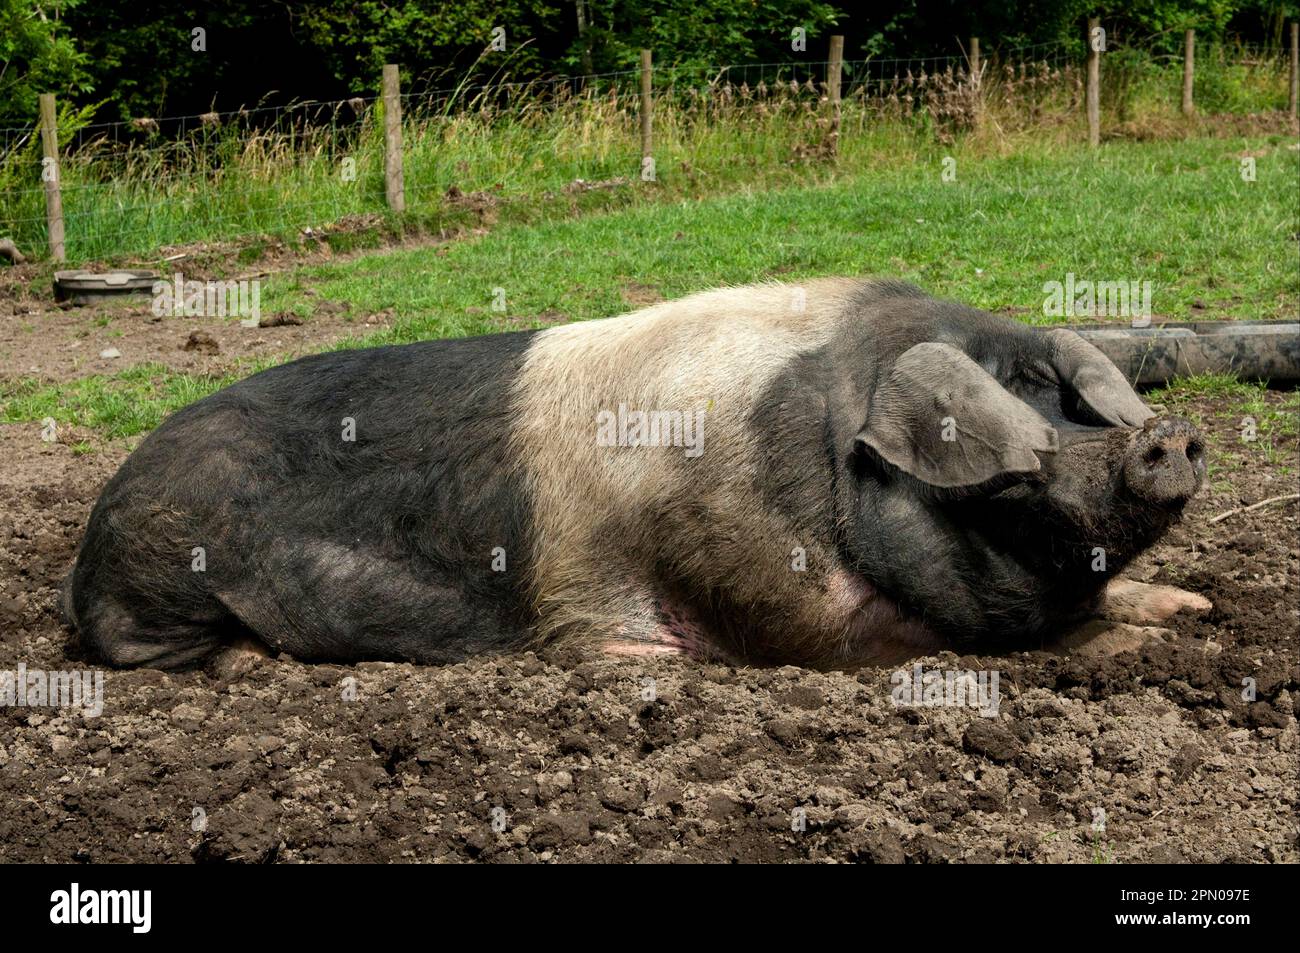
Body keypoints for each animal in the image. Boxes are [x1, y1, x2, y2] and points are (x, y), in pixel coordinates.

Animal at [63, 278, 1210, 671]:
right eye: (1012, 466)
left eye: (1070, 394)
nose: (1170, 437)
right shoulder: (787, 609)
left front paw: (1192, 607)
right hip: (170, 567)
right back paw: (249, 667)